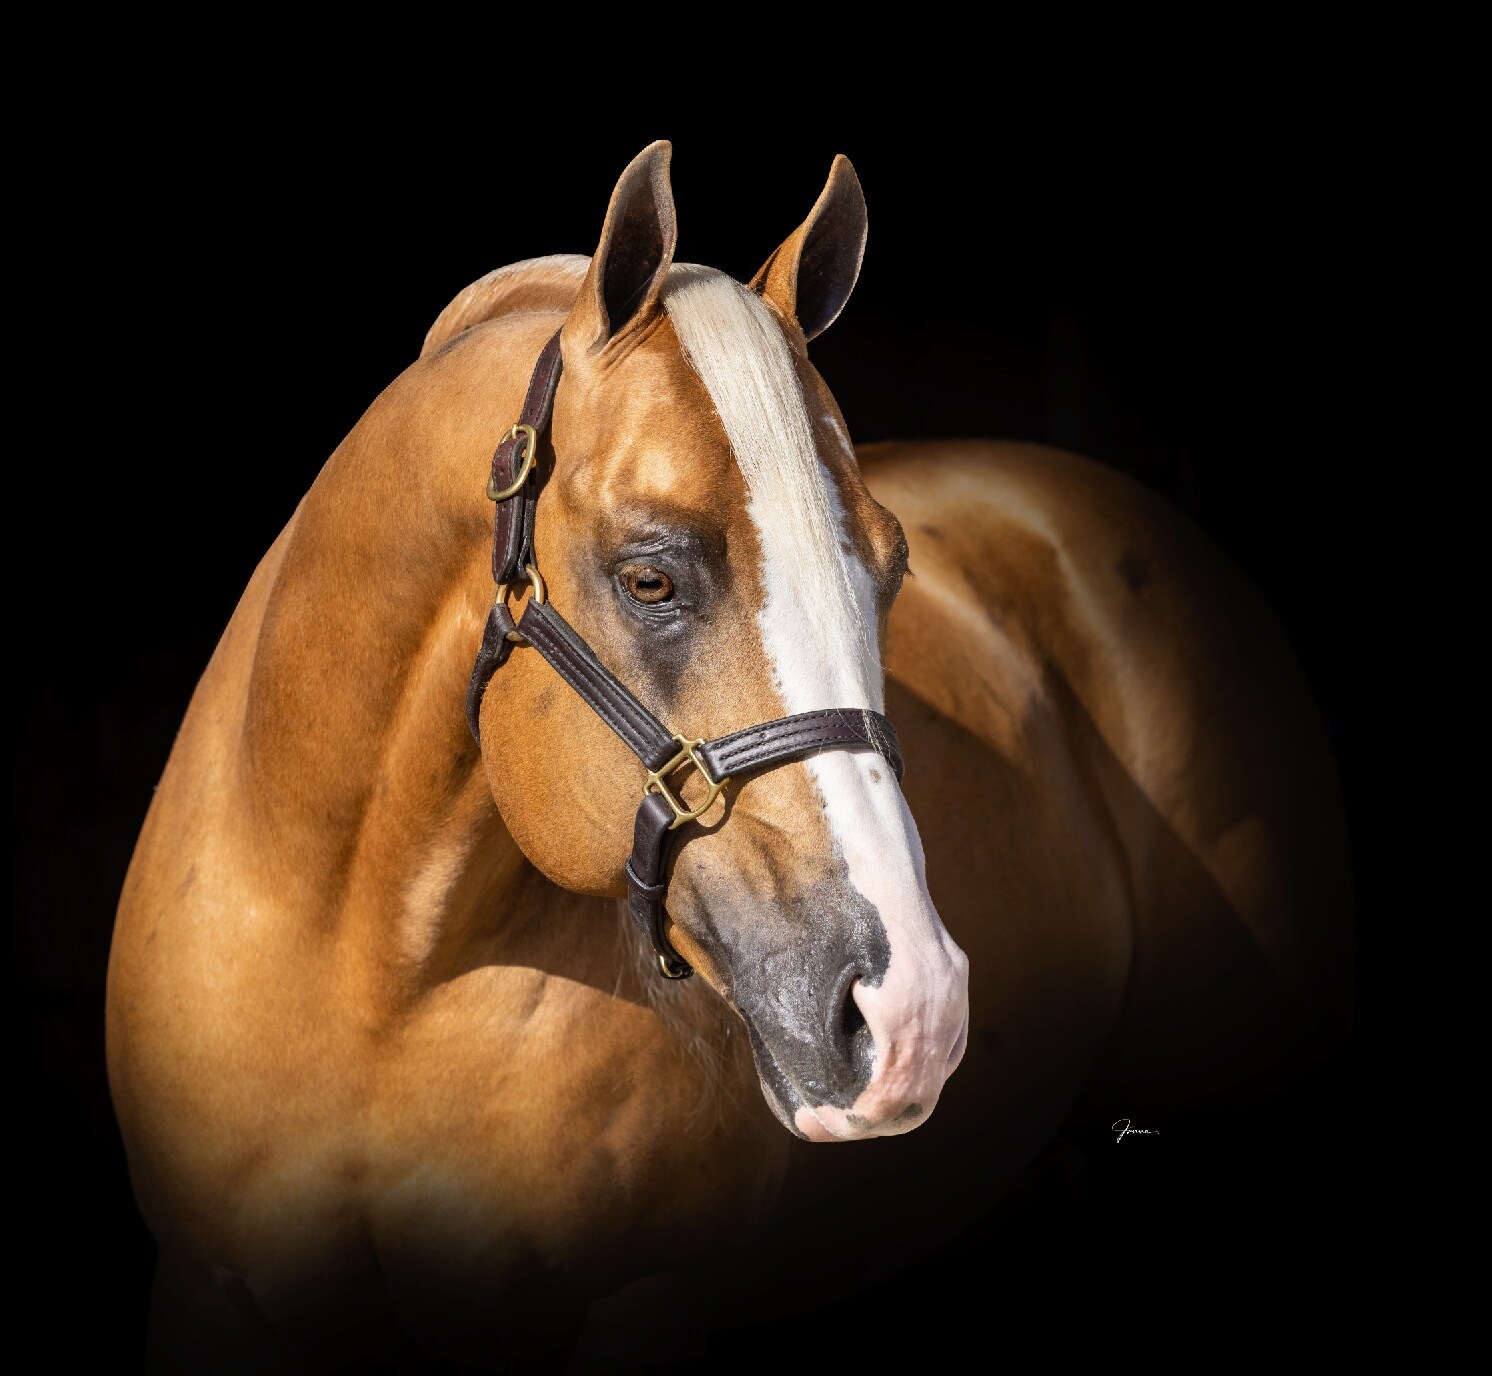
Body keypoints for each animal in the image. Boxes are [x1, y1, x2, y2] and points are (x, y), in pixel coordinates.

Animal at [106, 141, 1352, 1369]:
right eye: (650, 576)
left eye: (892, 567)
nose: (909, 1006)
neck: (372, 982)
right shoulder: (212, 1289)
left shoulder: (638, 1299)